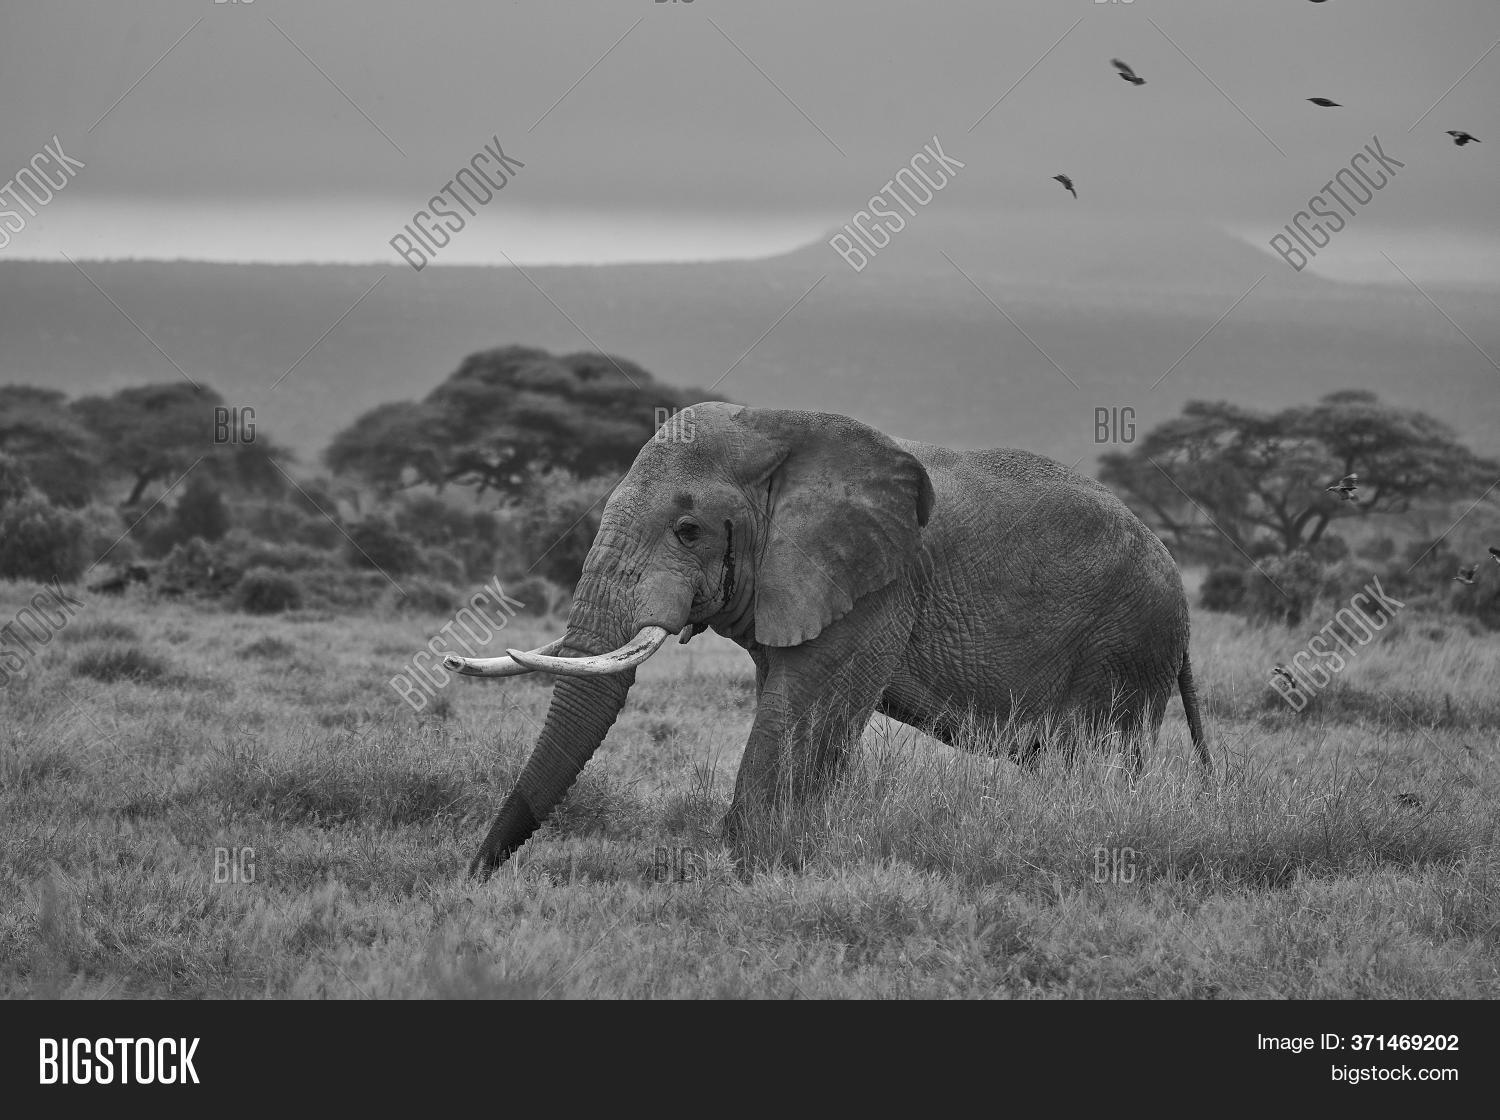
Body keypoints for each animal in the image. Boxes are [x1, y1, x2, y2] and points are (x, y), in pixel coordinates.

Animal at [449, 403, 1208, 877]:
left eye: (688, 531)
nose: (469, 878)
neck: (777, 433)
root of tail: (1175, 576)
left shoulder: (879, 588)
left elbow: (801, 715)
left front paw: (739, 867)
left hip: (1127, 642)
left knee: (1102, 758)